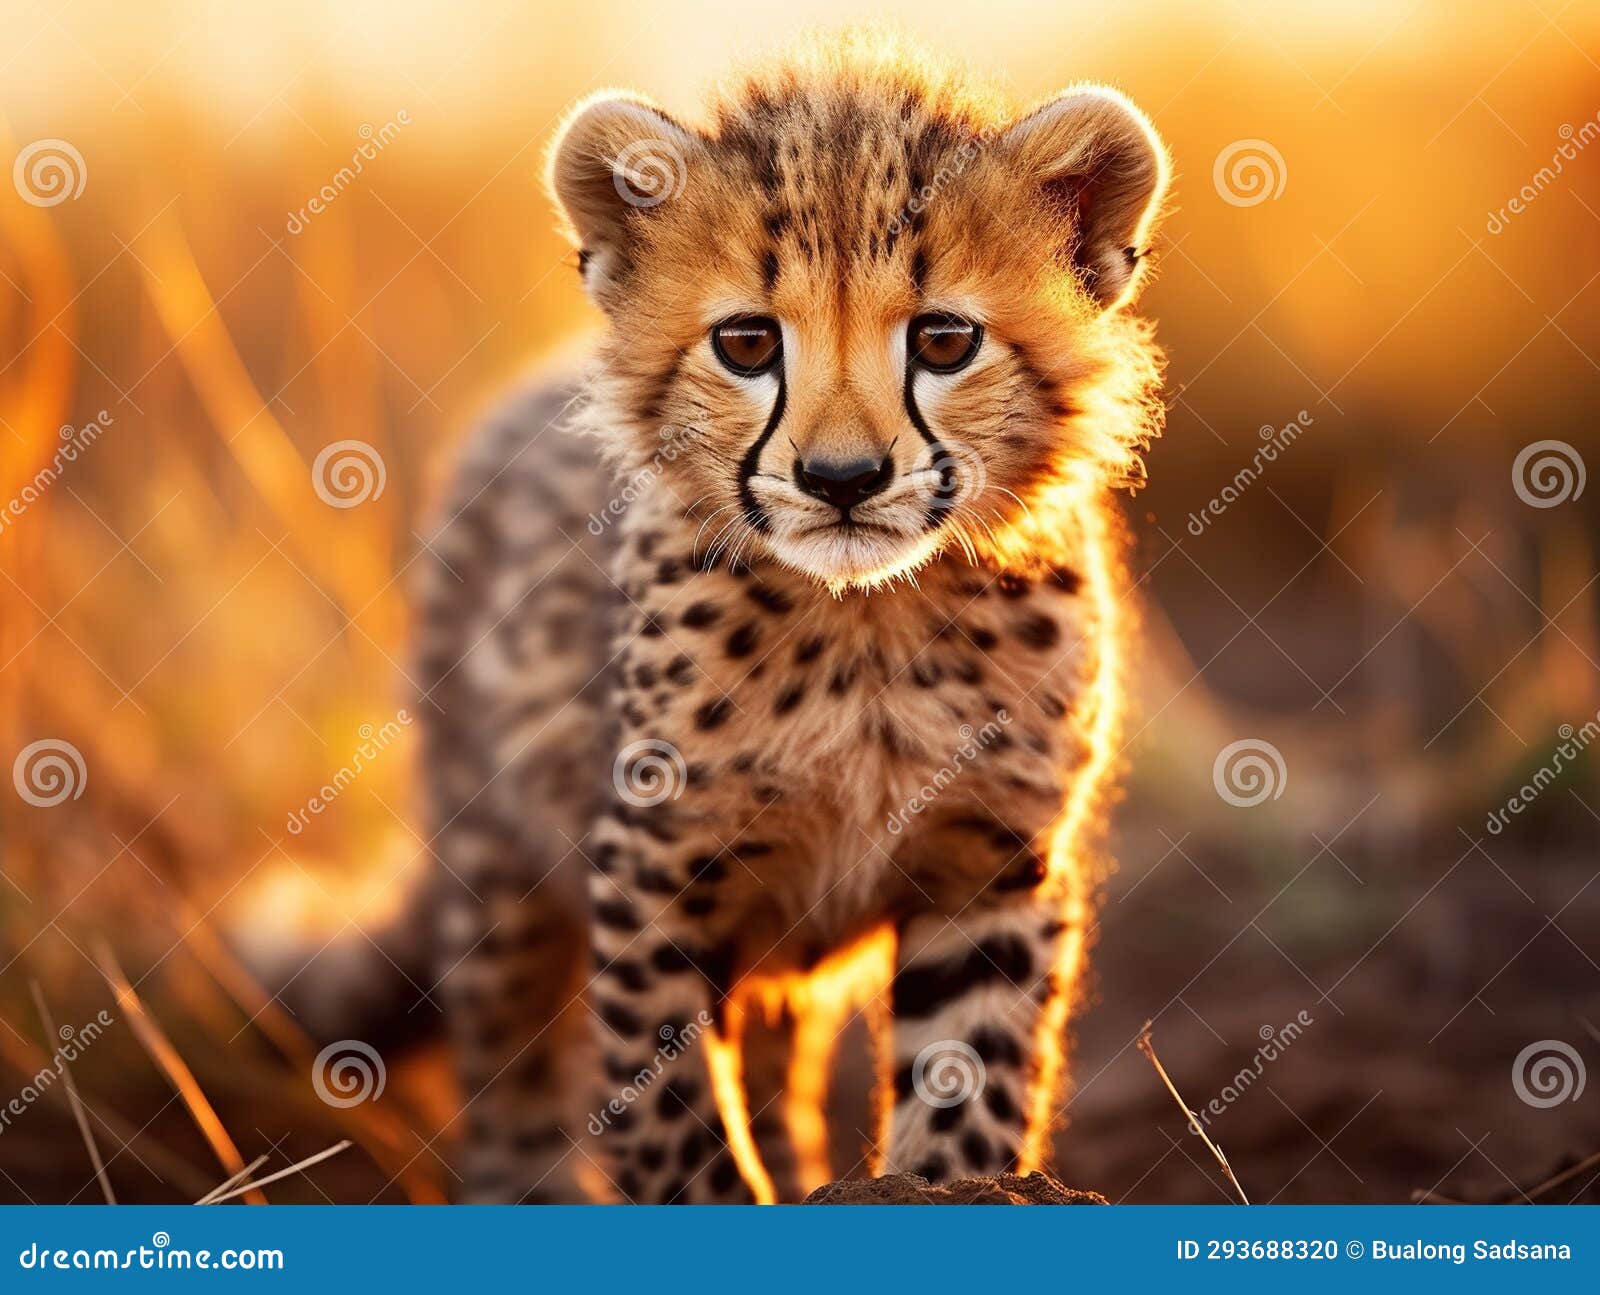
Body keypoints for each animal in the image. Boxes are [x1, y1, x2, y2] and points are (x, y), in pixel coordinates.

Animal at [407, 33, 1169, 1204]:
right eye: (747, 342)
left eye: (942, 341)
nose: (843, 478)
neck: (866, 626)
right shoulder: (653, 871)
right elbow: (673, 1122)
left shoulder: (989, 861)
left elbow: (971, 1081)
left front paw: (935, 1184)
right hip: (493, 862)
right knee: (506, 1066)